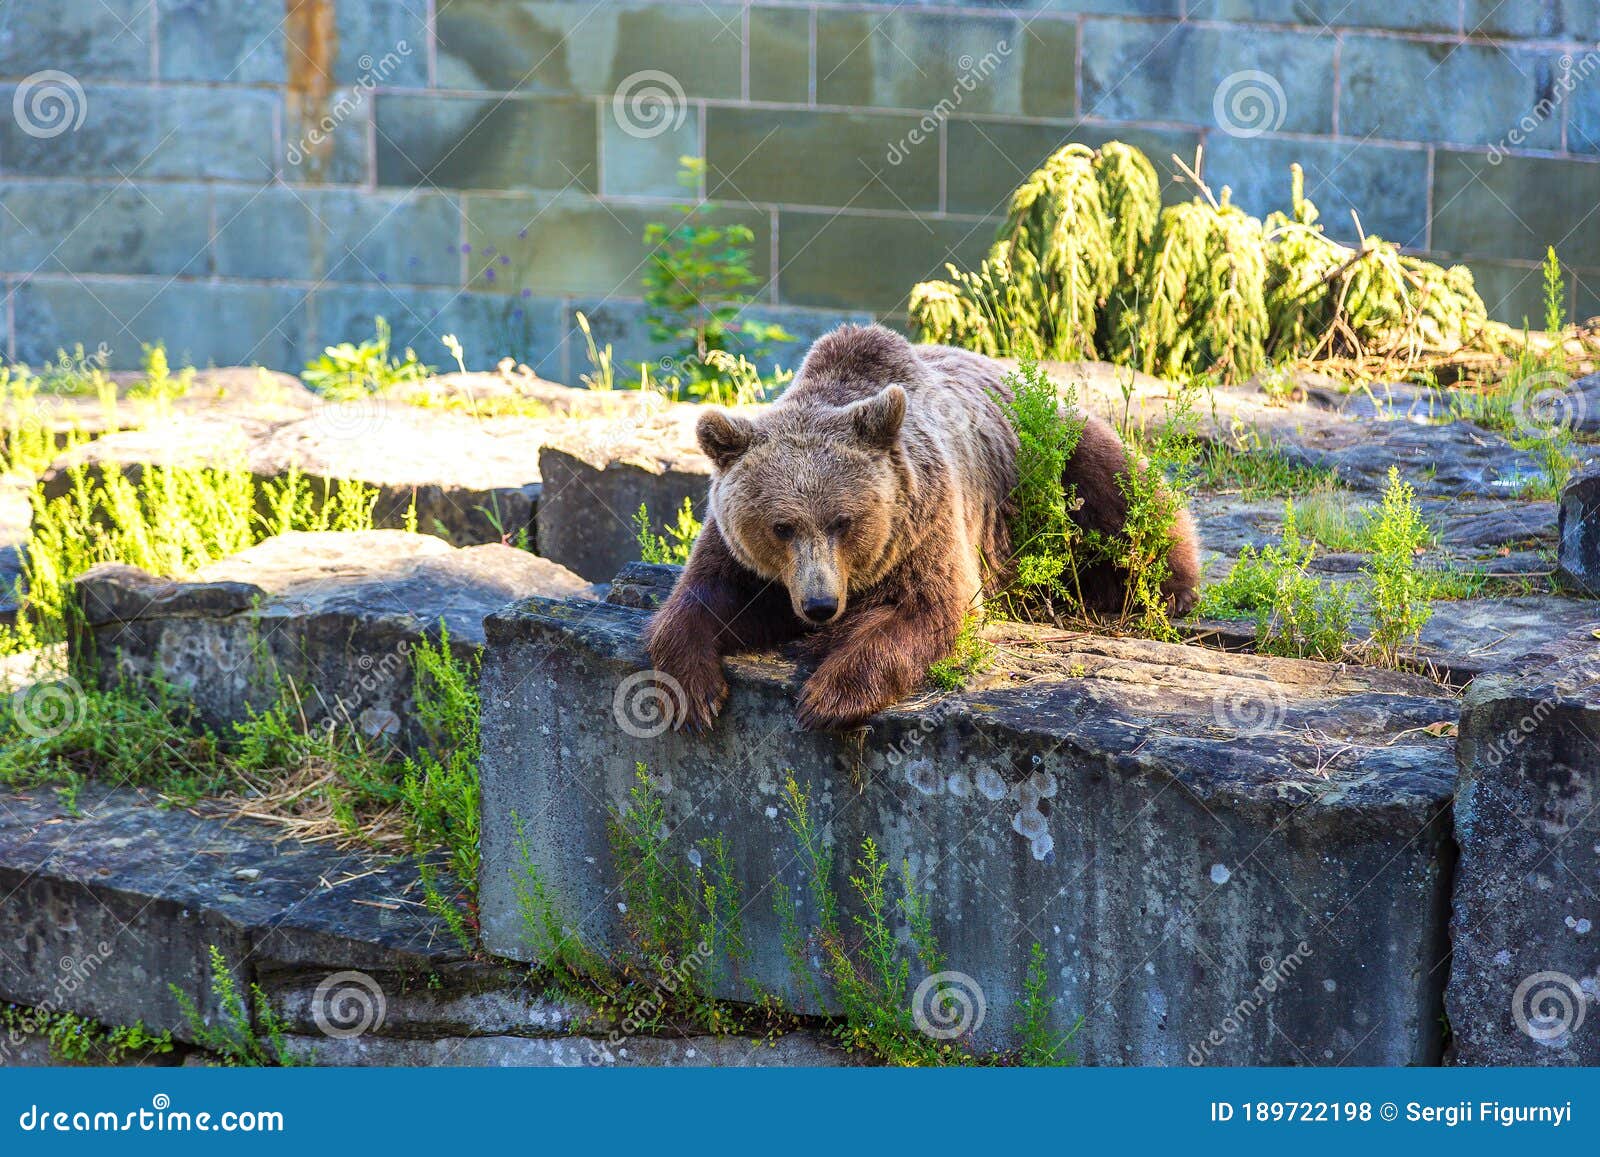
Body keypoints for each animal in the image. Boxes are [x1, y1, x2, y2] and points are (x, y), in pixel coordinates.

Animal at [644, 324, 1200, 731]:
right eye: (782, 527)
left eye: (843, 521)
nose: (820, 605)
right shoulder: (742, 552)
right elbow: (702, 597)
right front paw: (694, 691)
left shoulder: (924, 520)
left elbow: (933, 608)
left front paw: (826, 697)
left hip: (1048, 453)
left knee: (1121, 492)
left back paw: (1170, 589)